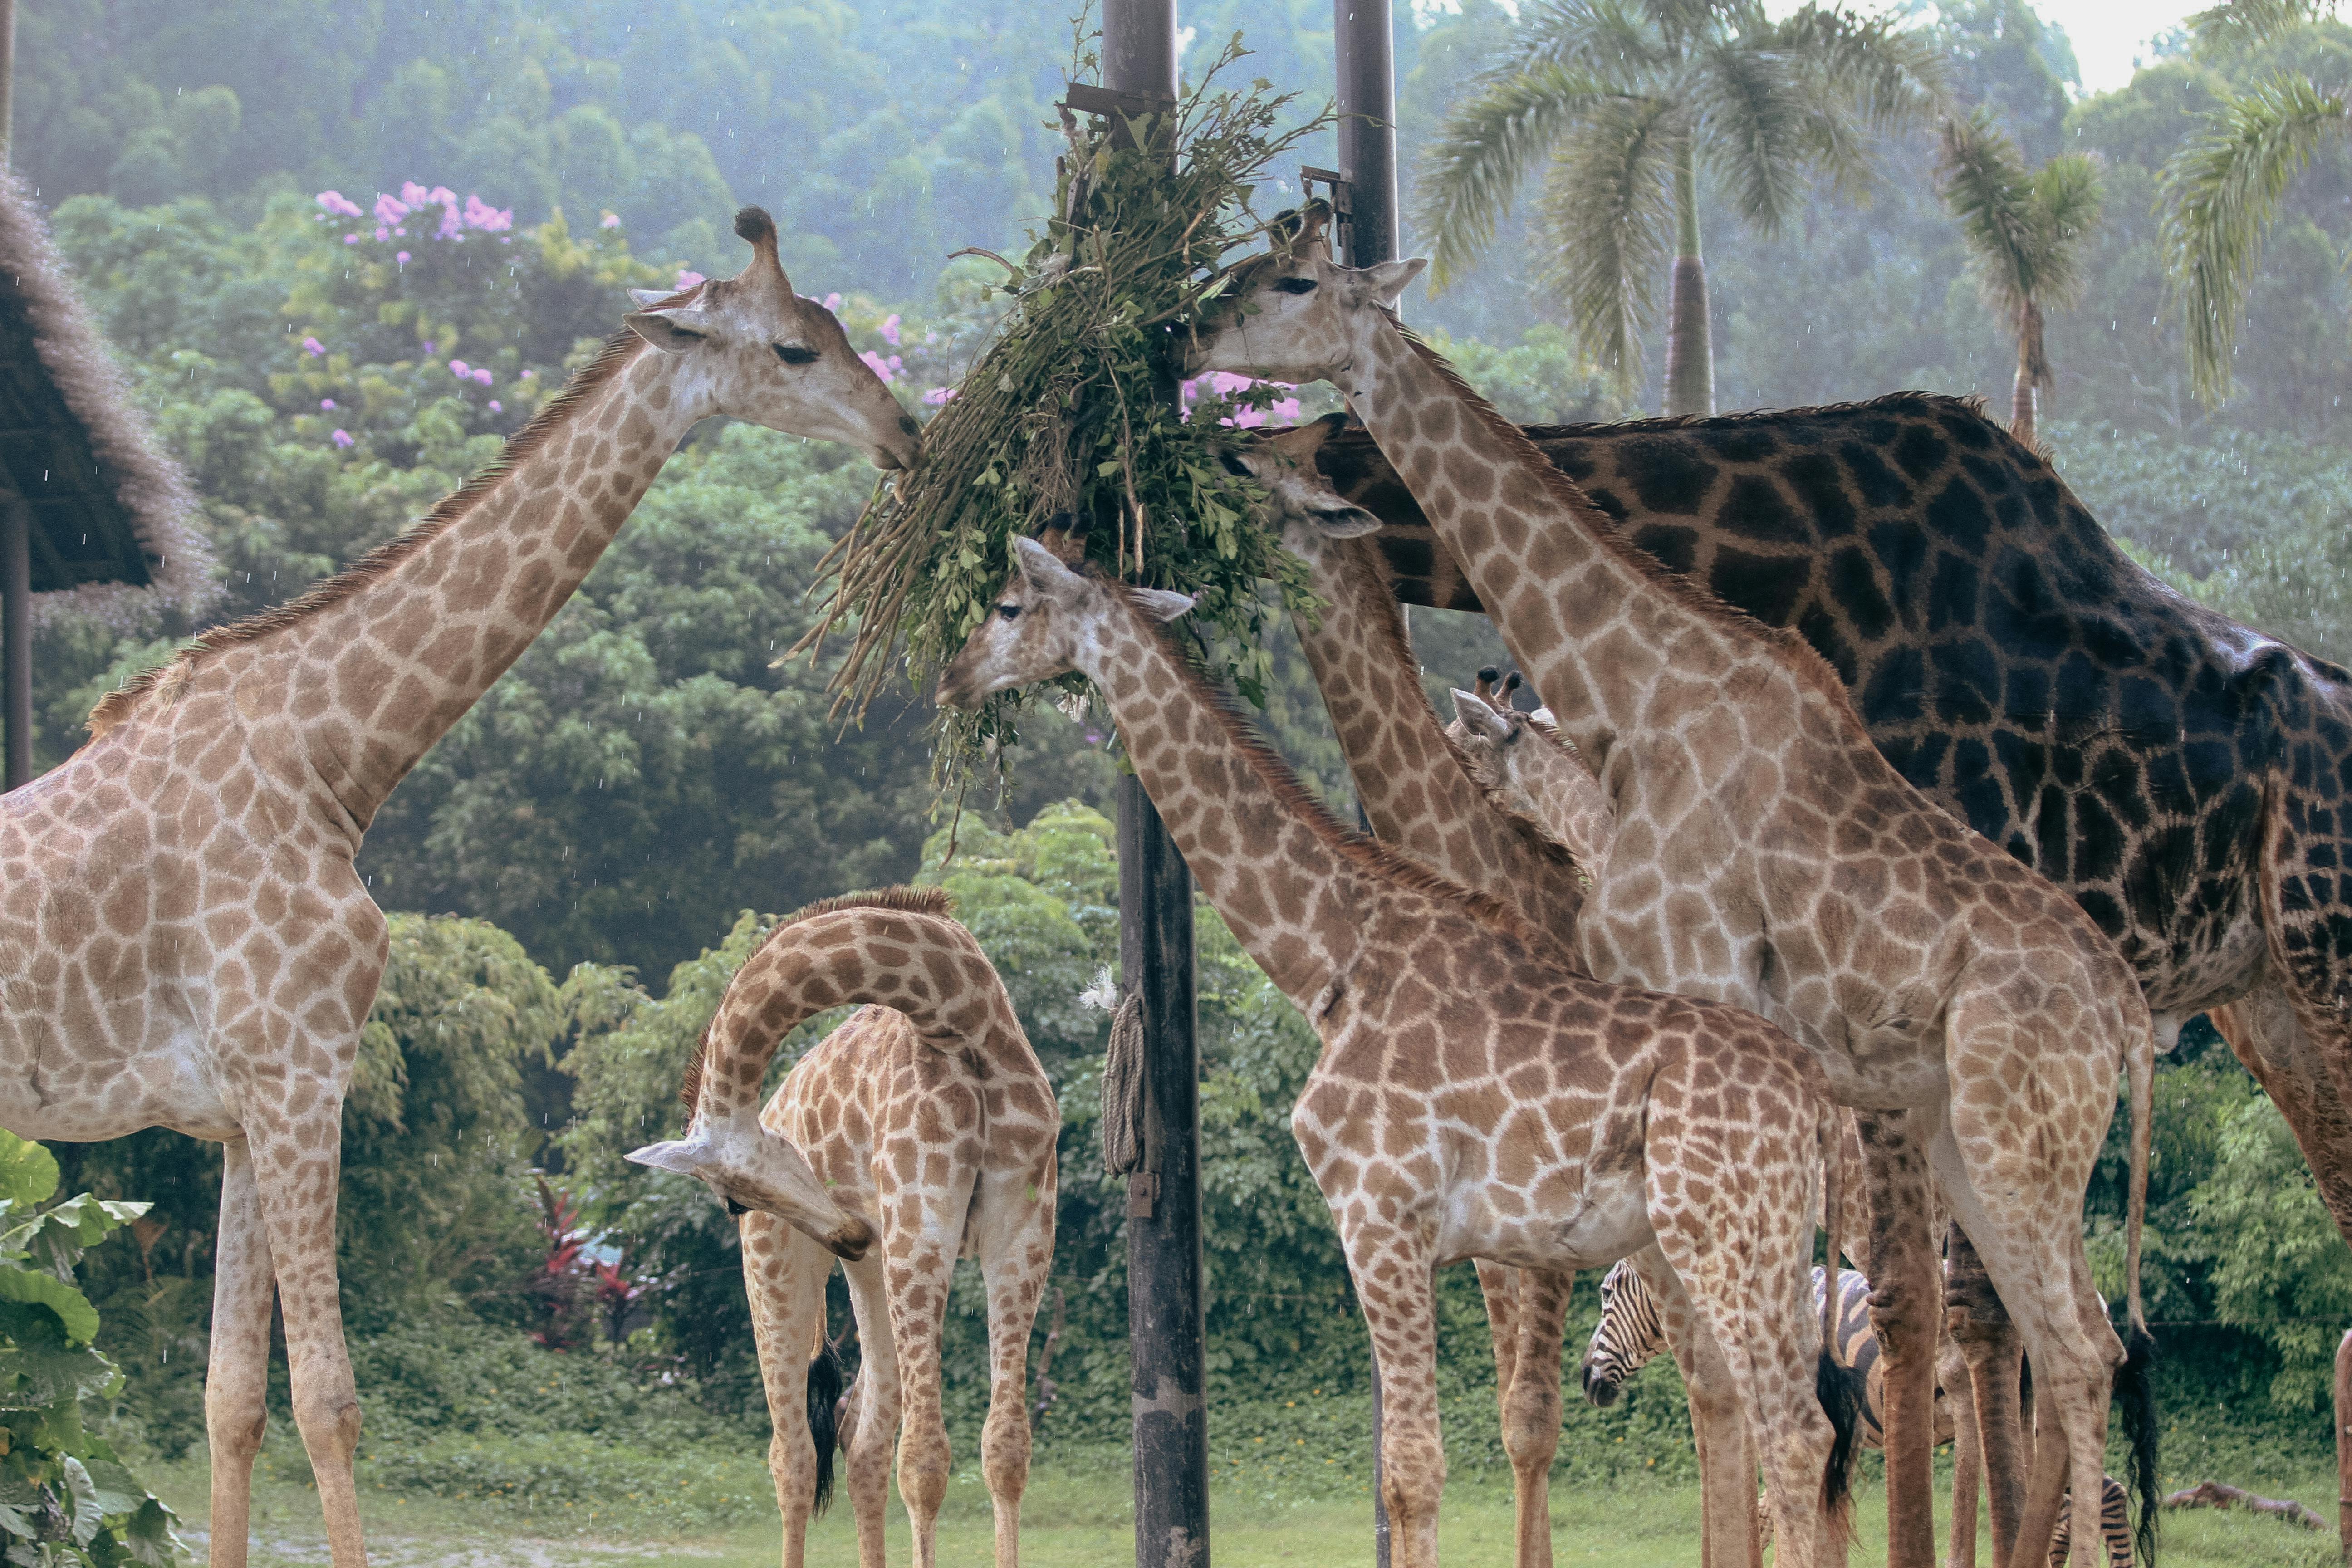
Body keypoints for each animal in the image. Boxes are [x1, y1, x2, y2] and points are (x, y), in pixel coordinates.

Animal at [0, 208, 917, 1568]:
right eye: (796, 349)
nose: (905, 432)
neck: (334, 758)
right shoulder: (302, 1077)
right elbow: (330, 1400)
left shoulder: (240, 1108)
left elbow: (231, 1399)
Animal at [627, 888, 1058, 1568]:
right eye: (732, 1204)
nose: (852, 1234)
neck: (960, 1013)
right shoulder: (923, 1228)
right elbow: (925, 1461)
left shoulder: (1023, 1233)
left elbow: (1006, 1448)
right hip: (782, 1267)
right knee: (796, 1455)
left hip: (879, 1274)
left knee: (863, 1436)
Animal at [936, 526, 1860, 1568]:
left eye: (1008, 605)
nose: (951, 677)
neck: (1328, 956)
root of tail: (1817, 1105)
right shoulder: (1430, 1238)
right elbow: (1419, 1467)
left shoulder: (1381, 1218)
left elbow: (1416, 1472)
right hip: (1753, 1246)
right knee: (1778, 1425)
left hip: (1726, 1239)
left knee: (1792, 1430)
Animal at [1184, 230, 2155, 1568]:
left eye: (1290, 282)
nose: (1186, 338)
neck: (1639, 696)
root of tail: (2128, 1014)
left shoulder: (1675, 1024)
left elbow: (1685, 1379)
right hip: (1975, 1140)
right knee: (2058, 1342)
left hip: (2007, 1139)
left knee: (2034, 1345)